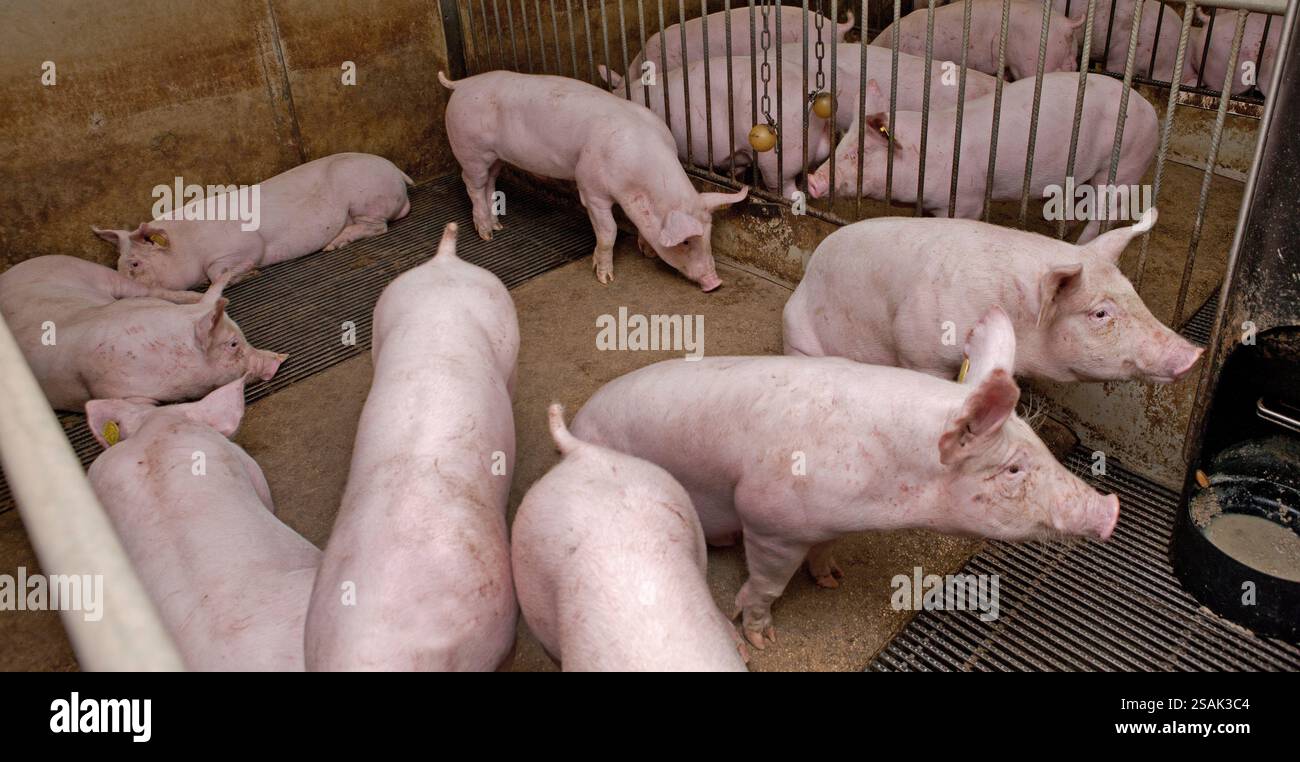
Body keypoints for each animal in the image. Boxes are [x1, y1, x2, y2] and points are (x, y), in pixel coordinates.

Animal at [93, 152, 413, 290]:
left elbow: (218, 273)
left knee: (378, 225)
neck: (187, 247)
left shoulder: (244, 244)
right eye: (117, 264)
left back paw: (334, 244)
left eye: (135, 264)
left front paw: (249, 273)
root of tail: (395, 170)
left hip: (364, 198)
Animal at [439, 71, 748, 291]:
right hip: (470, 149)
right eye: (685, 243)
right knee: (473, 184)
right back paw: (486, 234)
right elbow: (609, 232)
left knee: (490, 182)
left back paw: (497, 226)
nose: (715, 282)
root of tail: (462, 84)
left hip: (494, 157)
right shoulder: (591, 189)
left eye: (708, 235)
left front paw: (647, 251)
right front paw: (605, 278)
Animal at [572, 306, 1120, 647]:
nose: (1111, 508)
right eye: (1013, 468)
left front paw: (833, 581)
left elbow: (825, 551)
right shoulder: (768, 518)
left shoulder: (825, 521)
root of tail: (577, 423)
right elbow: (766, 586)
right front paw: (762, 639)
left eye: (1039, 447)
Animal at [809, 72, 1158, 243]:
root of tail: (1151, 111)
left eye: (859, 153)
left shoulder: (968, 199)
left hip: (1125, 165)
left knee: (1106, 213)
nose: (813, 180)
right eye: (841, 145)